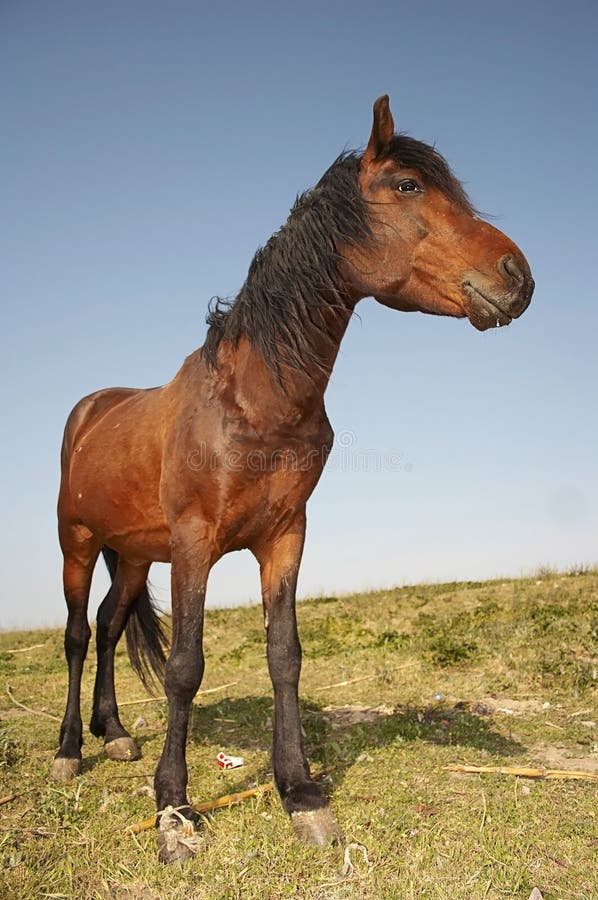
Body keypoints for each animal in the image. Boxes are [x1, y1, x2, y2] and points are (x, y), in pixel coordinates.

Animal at [52, 95, 534, 862]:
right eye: (408, 186)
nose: (517, 275)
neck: (254, 401)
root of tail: (92, 408)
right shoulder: (194, 545)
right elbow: (185, 667)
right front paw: (174, 807)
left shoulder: (284, 538)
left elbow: (286, 657)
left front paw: (300, 792)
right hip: (77, 541)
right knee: (73, 634)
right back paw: (71, 749)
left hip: (131, 555)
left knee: (105, 626)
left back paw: (118, 734)